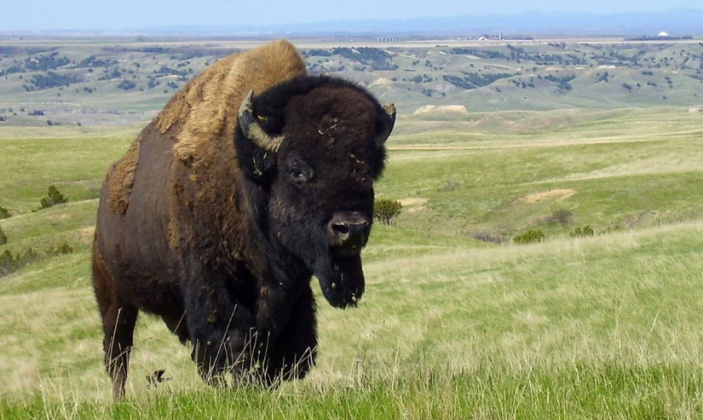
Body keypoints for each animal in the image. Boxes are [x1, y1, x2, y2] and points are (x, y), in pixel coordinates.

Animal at [92, 39, 395, 399]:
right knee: (118, 352)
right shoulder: (213, 282)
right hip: (113, 296)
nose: (350, 228)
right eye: (296, 169)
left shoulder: (287, 292)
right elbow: (233, 339)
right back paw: (119, 399)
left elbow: (278, 344)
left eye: (368, 169)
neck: (248, 177)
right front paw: (241, 386)